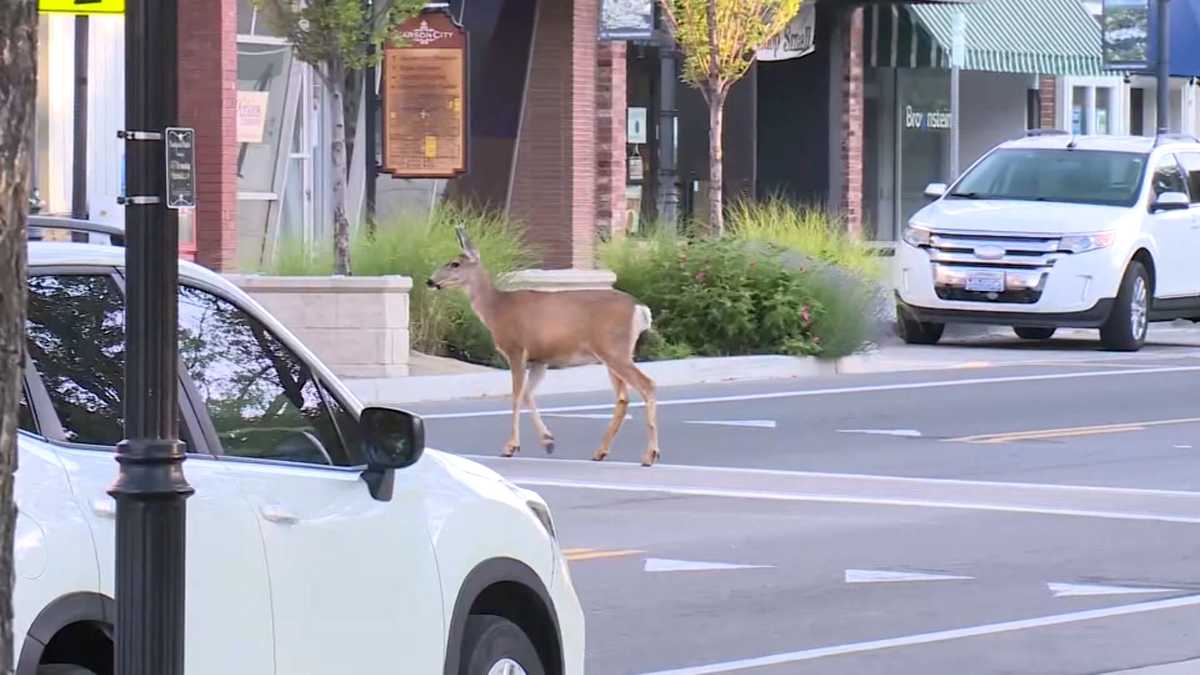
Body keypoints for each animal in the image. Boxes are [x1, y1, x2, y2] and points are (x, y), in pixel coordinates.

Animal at [427, 226, 661, 467]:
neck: (497, 310)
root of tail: (640, 309)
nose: (430, 280)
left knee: (647, 384)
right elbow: (528, 394)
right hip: (613, 354)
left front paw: (510, 447)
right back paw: (600, 452)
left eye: (455, 263)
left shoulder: (515, 349)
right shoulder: (540, 359)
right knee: (623, 397)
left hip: (614, 350)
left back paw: (650, 455)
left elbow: (515, 395)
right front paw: (548, 441)